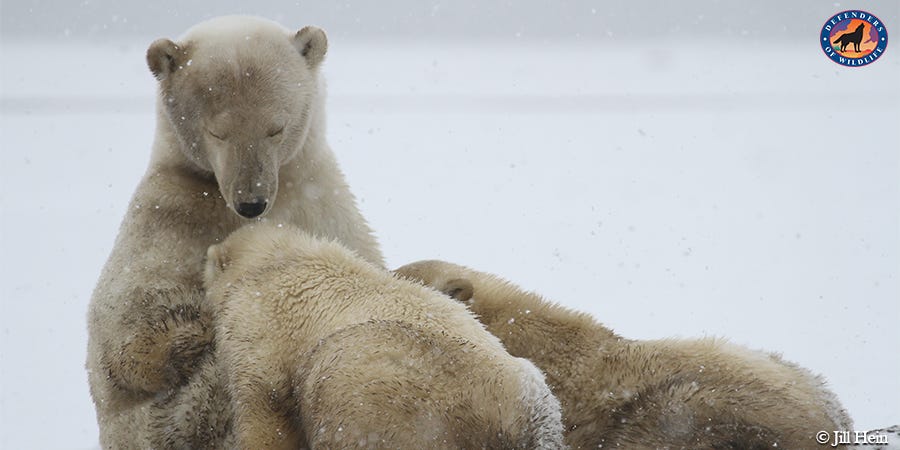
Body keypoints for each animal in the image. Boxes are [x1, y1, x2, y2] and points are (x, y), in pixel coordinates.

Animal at [86, 16, 383, 449]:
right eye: (217, 132)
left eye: (276, 128)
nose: (251, 202)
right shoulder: (165, 214)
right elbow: (130, 322)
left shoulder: (323, 205)